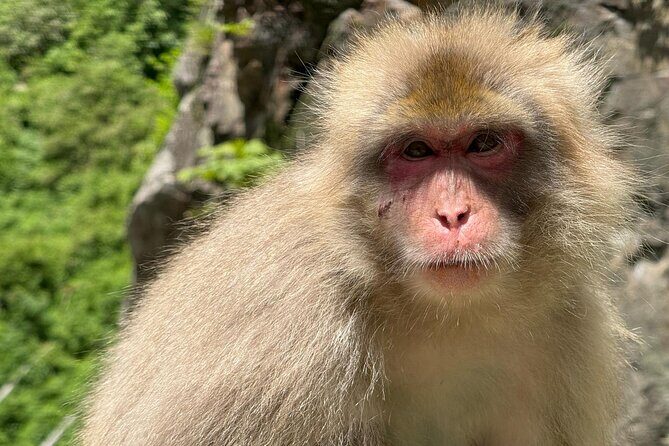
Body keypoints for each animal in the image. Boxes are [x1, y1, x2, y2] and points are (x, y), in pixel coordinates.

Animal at [82, 6, 637, 446]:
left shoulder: (572, 331)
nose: (453, 215)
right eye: (416, 150)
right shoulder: (280, 338)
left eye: (483, 143)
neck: (442, 316)